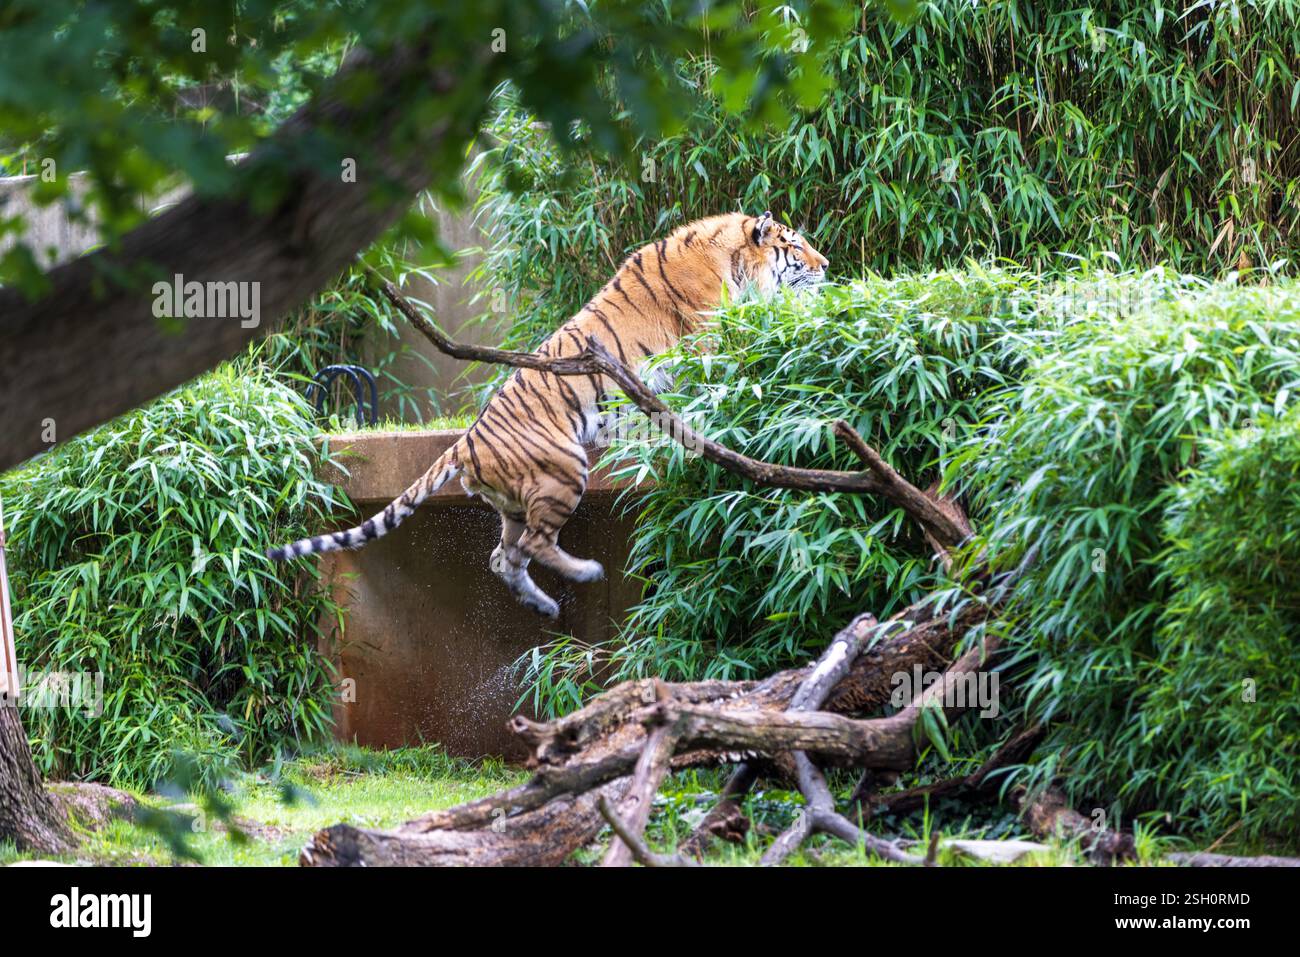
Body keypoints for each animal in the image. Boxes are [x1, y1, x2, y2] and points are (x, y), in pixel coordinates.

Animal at [268, 210, 829, 618]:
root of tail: (463, 441)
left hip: (514, 504)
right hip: (562, 469)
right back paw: (586, 574)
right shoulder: (708, 341)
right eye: (796, 245)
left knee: (503, 557)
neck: (729, 258)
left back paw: (544, 606)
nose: (825, 265)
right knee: (536, 545)